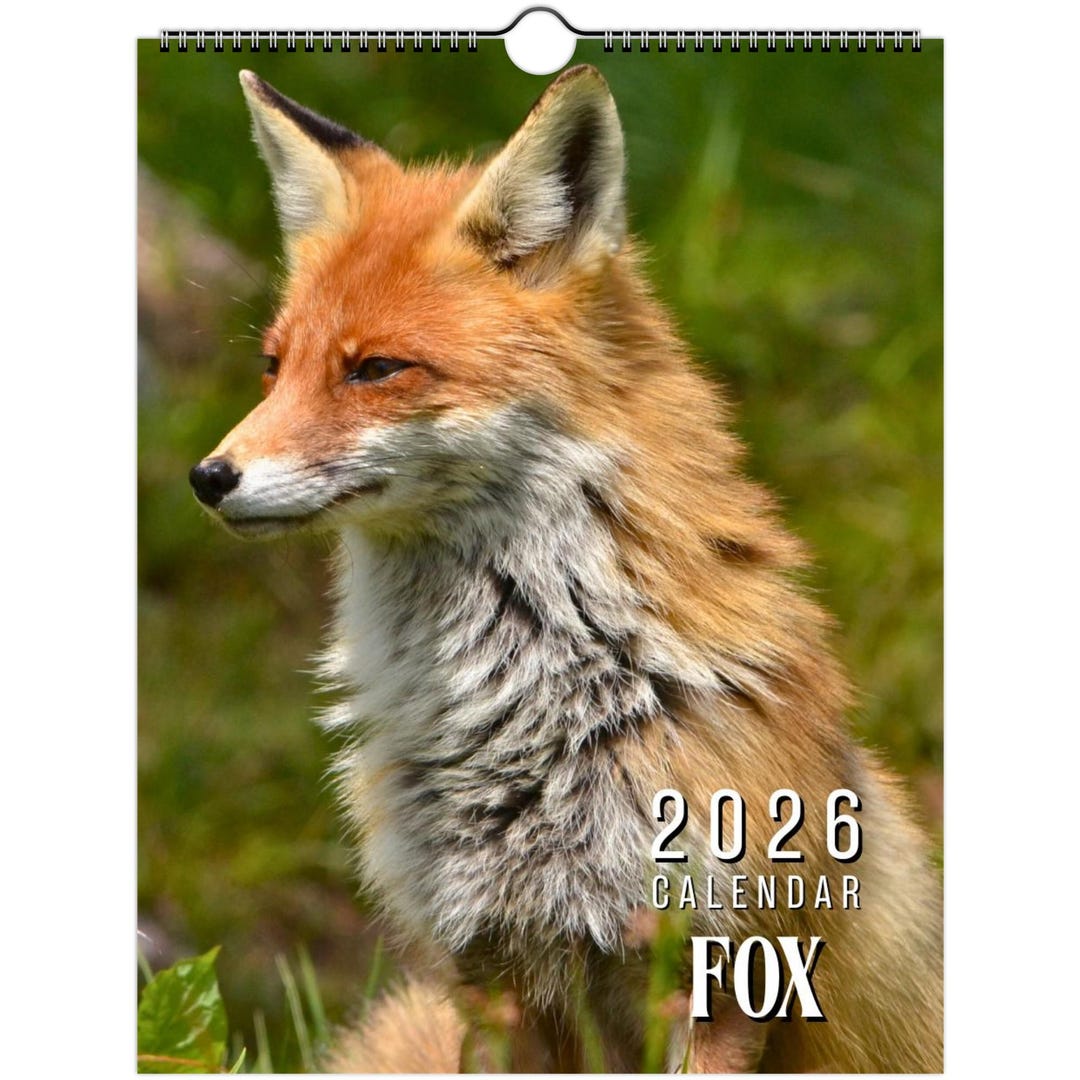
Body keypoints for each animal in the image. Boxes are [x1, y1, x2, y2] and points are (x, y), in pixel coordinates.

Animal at [189, 65, 943, 1073]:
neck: (527, 711)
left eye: (377, 368)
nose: (208, 477)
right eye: (275, 367)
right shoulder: (487, 974)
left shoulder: (721, 972)